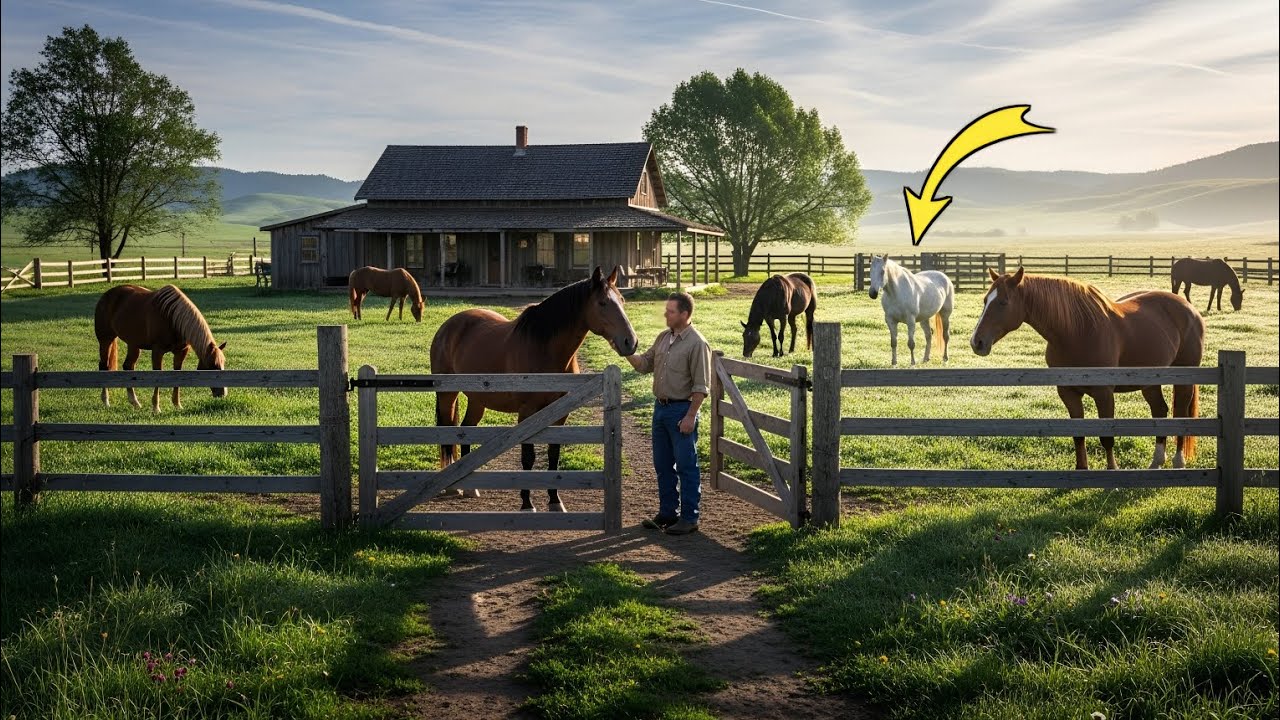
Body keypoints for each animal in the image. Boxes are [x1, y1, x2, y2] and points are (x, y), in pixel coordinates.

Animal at [94, 284, 228, 412]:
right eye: (212, 366)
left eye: (223, 363)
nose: (222, 393)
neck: (172, 318)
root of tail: (106, 295)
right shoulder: (157, 351)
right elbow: (157, 376)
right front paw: (156, 408)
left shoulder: (181, 352)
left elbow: (178, 375)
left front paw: (177, 405)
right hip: (106, 340)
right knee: (104, 366)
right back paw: (106, 401)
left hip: (133, 344)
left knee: (128, 366)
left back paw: (135, 402)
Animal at [430, 266, 638, 512]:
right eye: (603, 303)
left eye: (622, 300)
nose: (630, 342)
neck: (545, 349)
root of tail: (448, 326)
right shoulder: (527, 412)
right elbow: (528, 457)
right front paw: (527, 503)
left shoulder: (560, 415)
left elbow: (553, 454)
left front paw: (555, 501)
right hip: (447, 395)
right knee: (447, 432)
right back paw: (452, 487)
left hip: (477, 400)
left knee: (465, 429)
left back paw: (470, 487)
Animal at [970, 267, 1204, 470]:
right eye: (984, 301)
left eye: (1003, 302)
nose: (977, 342)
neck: (1077, 332)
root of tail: (1190, 309)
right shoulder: (1068, 393)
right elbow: (1078, 434)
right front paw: (1081, 469)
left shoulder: (1104, 393)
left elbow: (1106, 437)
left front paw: (1112, 471)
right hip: (1150, 382)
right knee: (1160, 411)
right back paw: (1156, 462)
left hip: (1184, 379)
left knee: (1180, 414)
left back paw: (1178, 462)